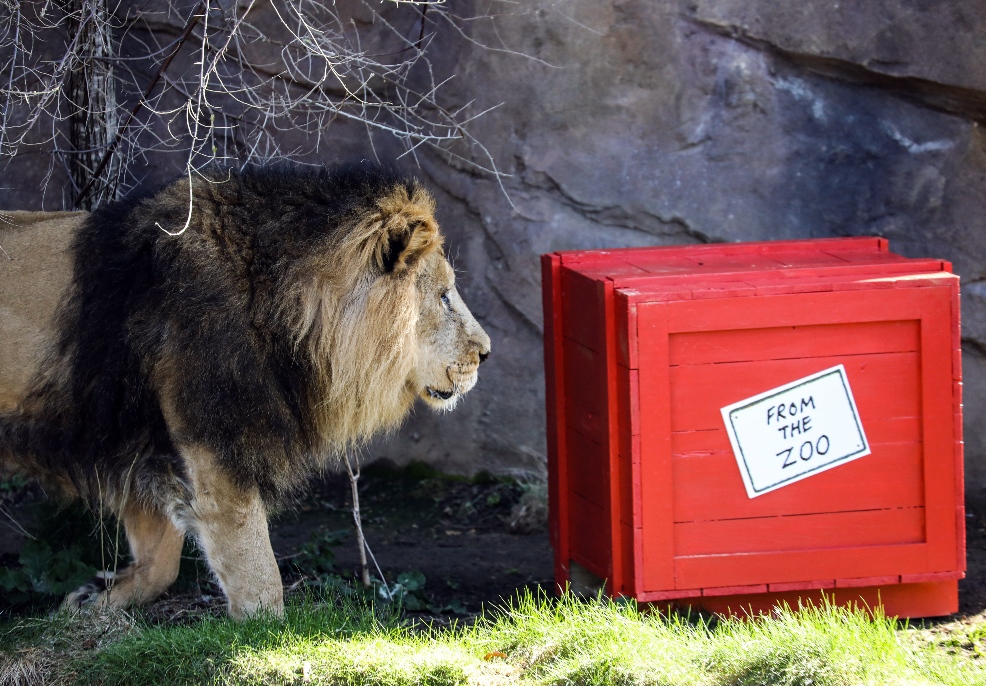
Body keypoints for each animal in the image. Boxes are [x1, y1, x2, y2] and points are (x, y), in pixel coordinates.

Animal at [0, 164, 491, 618]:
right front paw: (269, 638)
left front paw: (96, 598)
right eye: (444, 296)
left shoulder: (142, 441)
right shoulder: (216, 439)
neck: (286, 314)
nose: (486, 353)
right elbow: (256, 567)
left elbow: (162, 559)